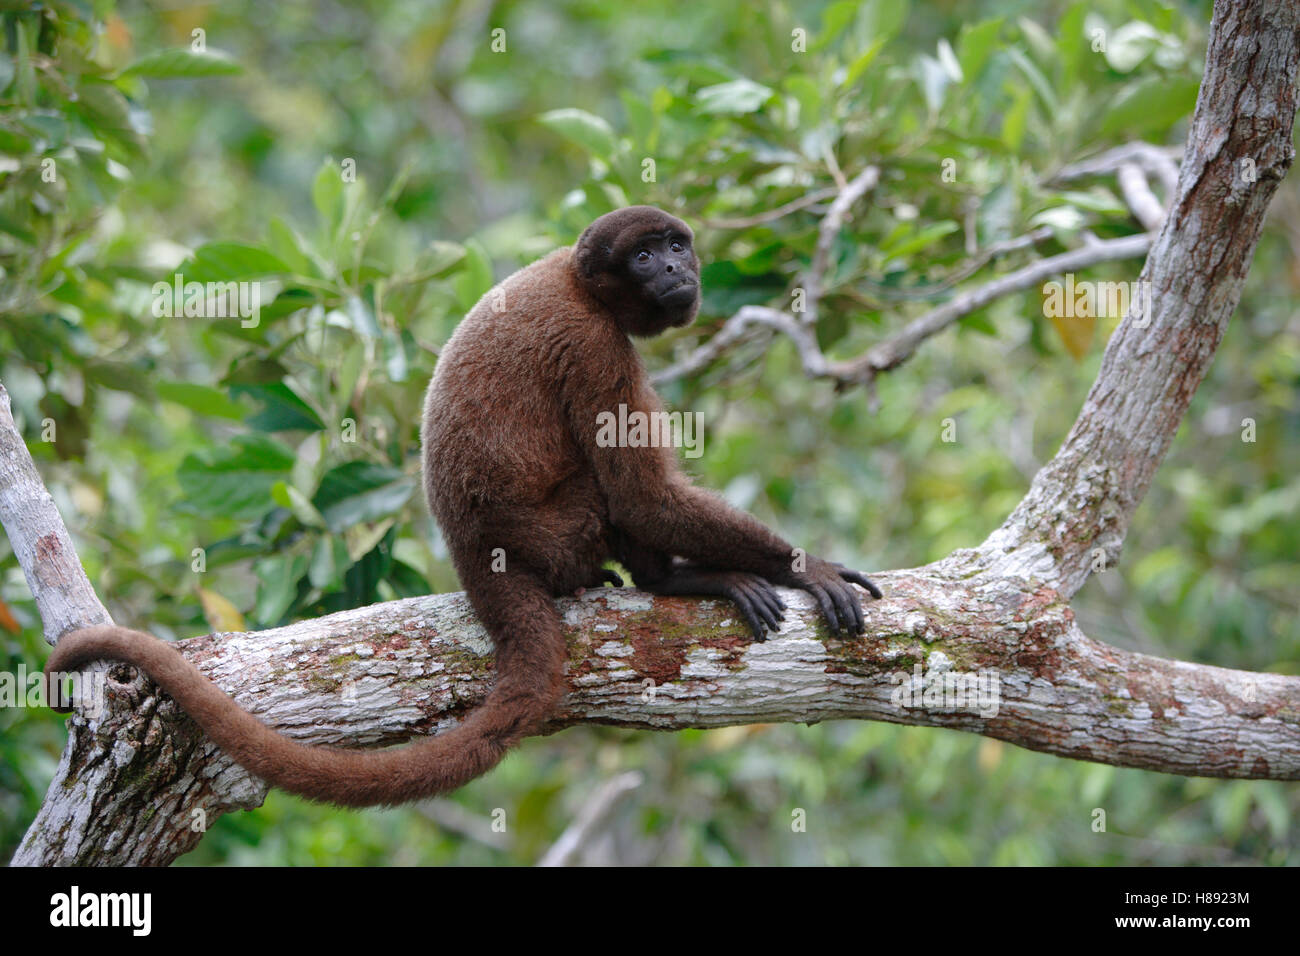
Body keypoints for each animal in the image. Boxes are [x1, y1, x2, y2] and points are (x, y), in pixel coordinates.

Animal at [44, 205, 881, 808]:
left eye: (676, 245)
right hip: (561, 530)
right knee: (607, 489)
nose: (676, 264)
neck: (581, 284)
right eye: (645, 256)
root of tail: (474, 554)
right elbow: (641, 494)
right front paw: (806, 567)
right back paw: (675, 581)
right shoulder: (597, 345)